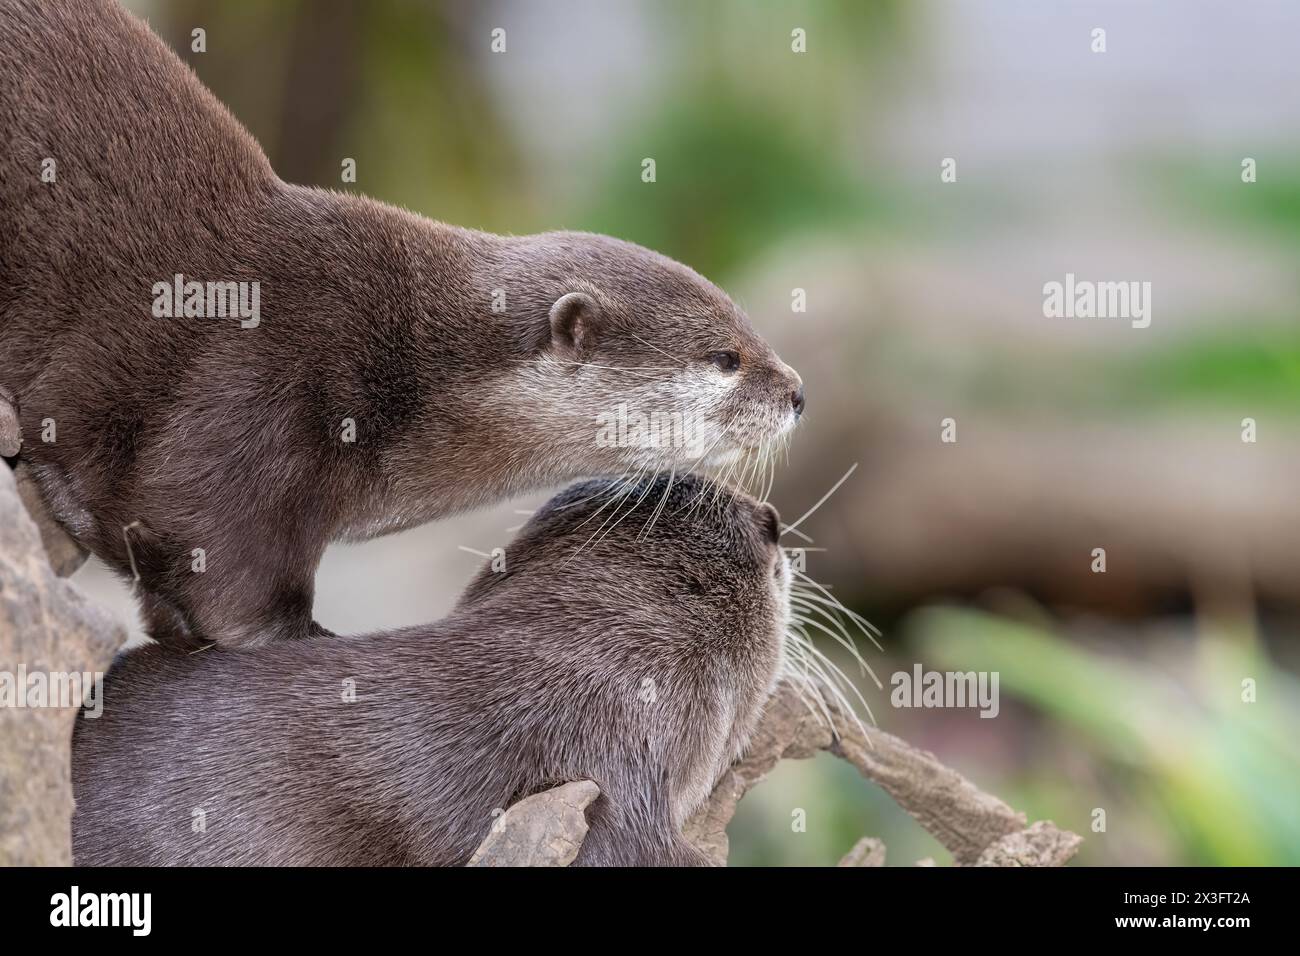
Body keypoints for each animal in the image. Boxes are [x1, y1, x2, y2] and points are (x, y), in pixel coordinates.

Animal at [0, 0, 803, 646]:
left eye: (752, 329)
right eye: (725, 357)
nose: (798, 391)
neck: (399, 363)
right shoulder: (253, 391)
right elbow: (213, 559)